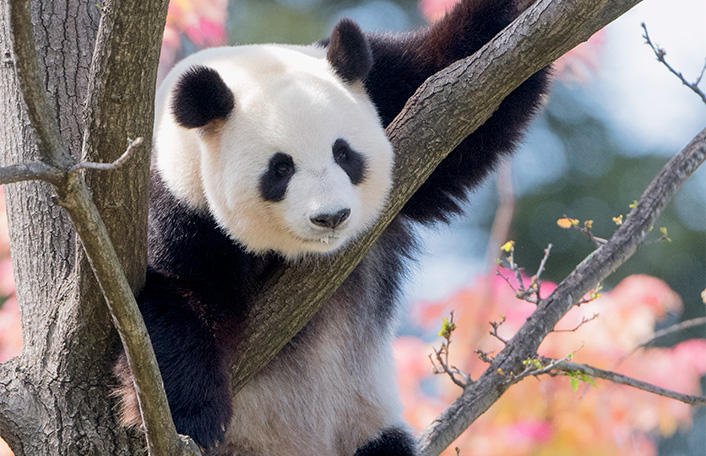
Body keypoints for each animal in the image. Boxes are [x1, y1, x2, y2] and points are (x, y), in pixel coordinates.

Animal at [113, 0, 550, 455]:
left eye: (344, 153)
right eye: (280, 168)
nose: (331, 216)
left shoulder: (388, 88)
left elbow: (470, 99)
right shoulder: (178, 205)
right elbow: (176, 296)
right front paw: (191, 415)